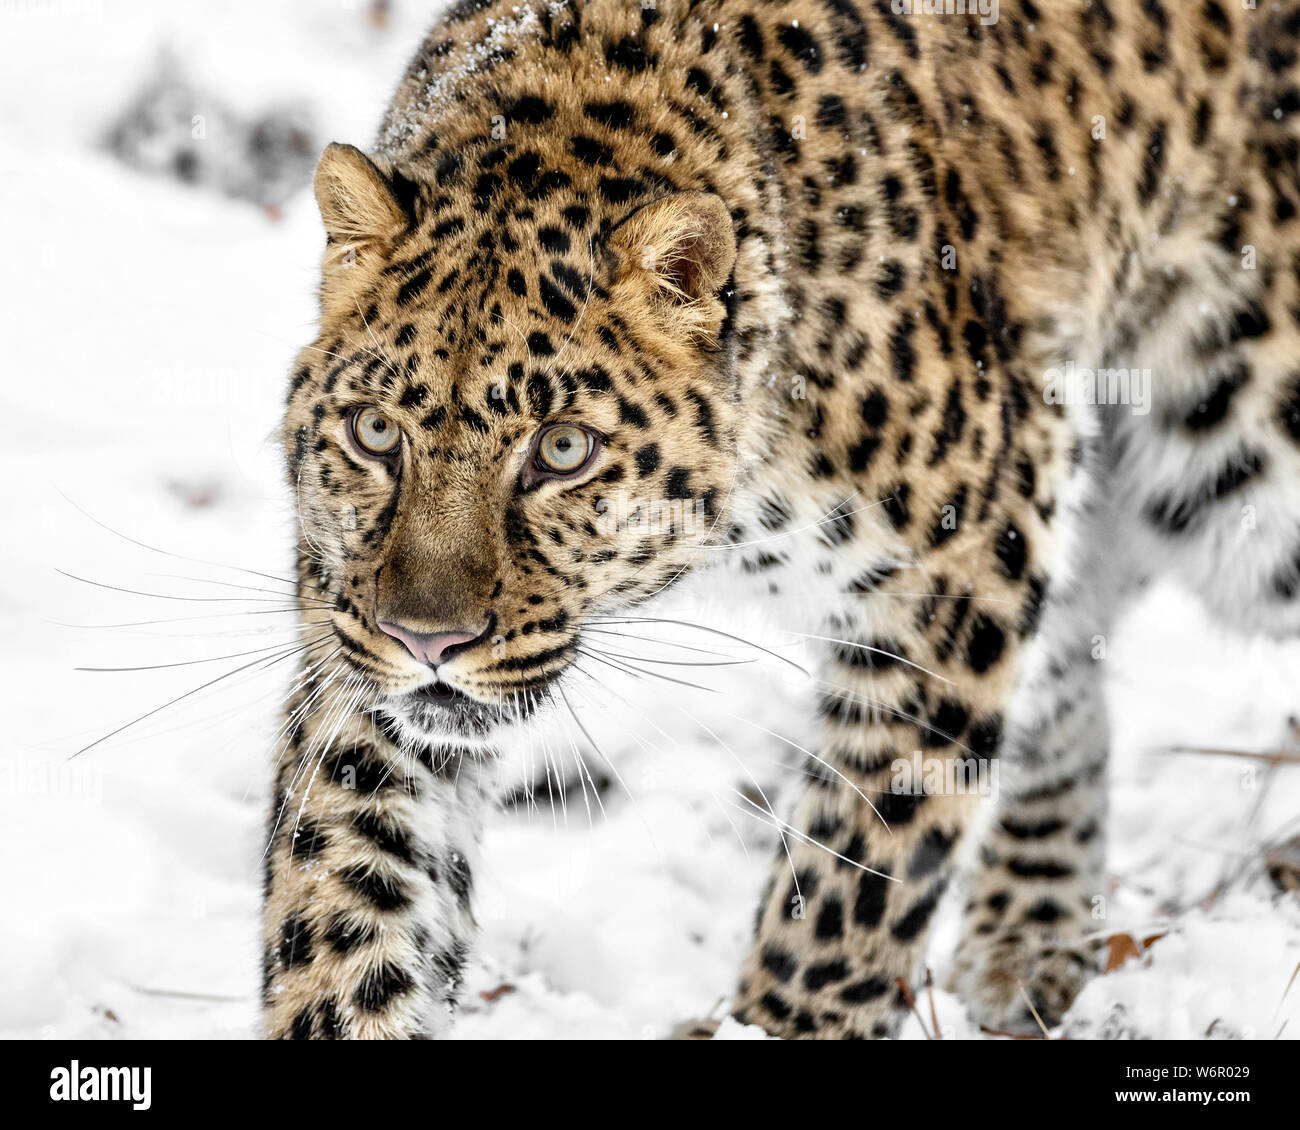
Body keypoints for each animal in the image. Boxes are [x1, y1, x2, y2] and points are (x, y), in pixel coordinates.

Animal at [264, 0, 1300, 1040]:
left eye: (562, 449)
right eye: (374, 431)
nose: (426, 639)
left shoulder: (965, 561)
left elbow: (853, 880)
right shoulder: (352, 631)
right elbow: (348, 883)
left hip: (1241, 468)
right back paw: (1029, 934)